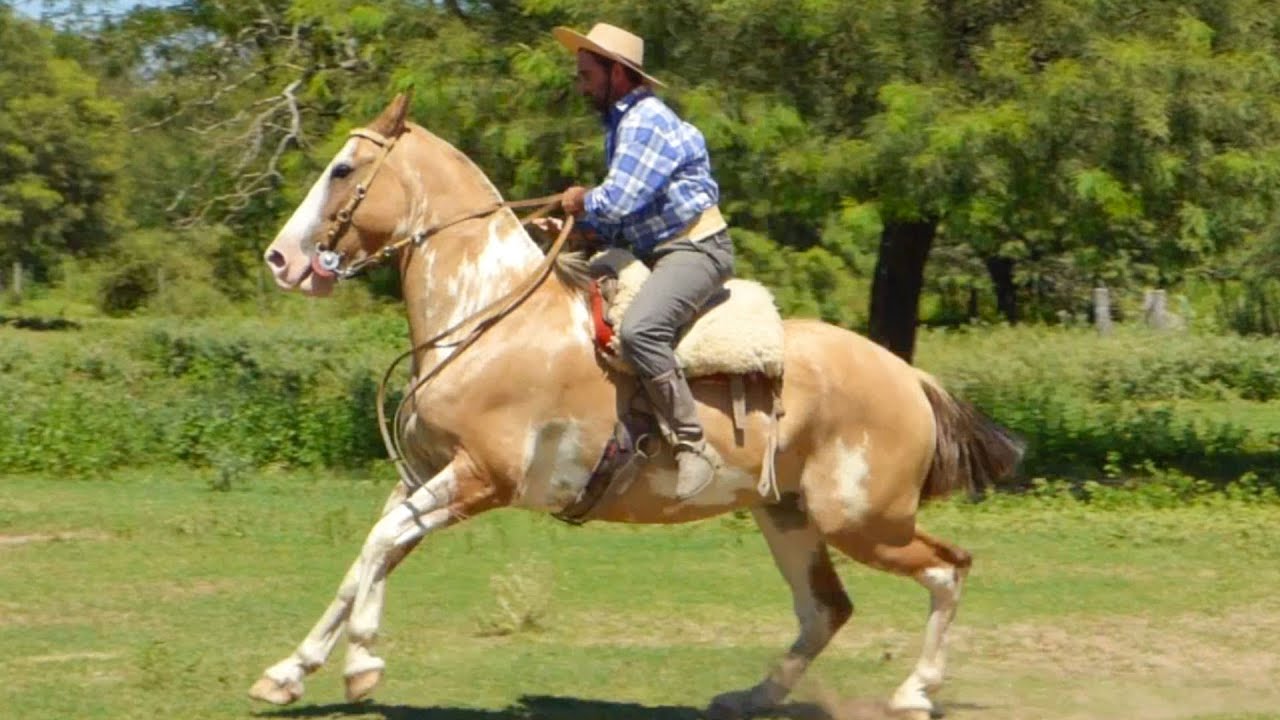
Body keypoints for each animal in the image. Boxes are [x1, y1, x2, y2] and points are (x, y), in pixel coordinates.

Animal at [253, 93, 1022, 720]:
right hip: (788, 515)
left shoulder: (482, 478)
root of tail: (910, 377)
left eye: (343, 170)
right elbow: (371, 555)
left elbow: (379, 546)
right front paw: (289, 673)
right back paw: (750, 696)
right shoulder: (422, 475)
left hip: (865, 521)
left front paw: (362, 662)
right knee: (827, 609)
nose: (280, 260)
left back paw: (914, 693)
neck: (490, 317)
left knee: (948, 568)